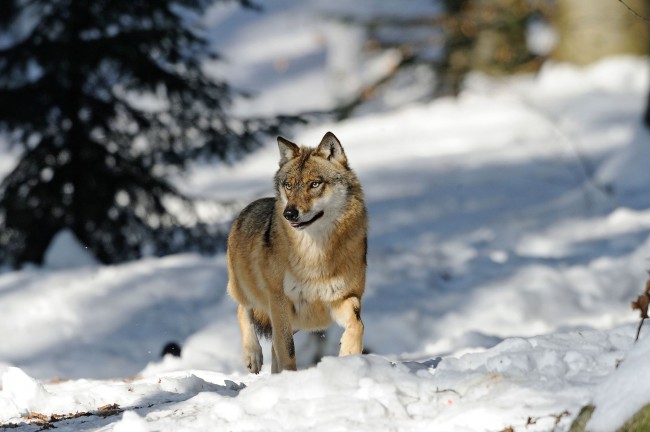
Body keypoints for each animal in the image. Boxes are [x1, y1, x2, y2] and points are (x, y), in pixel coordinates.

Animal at [226, 131, 368, 374]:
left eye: (315, 184)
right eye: (289, 186)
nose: (289, 213)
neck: (314, 255)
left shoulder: (343, 297)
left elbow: (358, 323)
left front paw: (349, 354)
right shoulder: (280, 302)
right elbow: (288, 351)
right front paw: (288, 377)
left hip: (297, 322)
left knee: (272, 344)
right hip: (249, 293)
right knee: (243, 310)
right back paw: (253, 355)